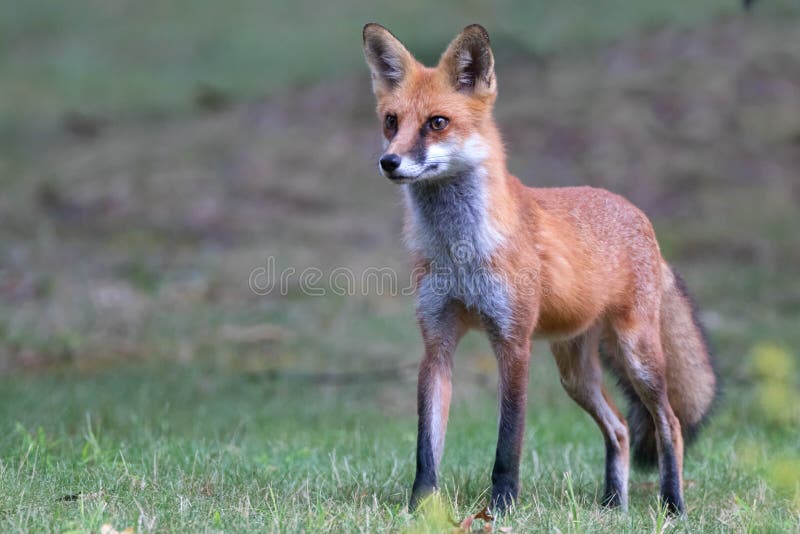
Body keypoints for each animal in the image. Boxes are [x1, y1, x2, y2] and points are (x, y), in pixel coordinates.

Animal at [362, 23, 716, 515]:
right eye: (391, 121)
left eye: (437, 122)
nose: (389, 162)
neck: (459, 251)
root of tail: (639, 216)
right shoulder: (437, 343)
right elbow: (426, 446)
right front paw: (422, 509)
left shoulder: (513, 343)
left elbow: (508, 442)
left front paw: (501, 508)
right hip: (576, 374)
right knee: (621, 426)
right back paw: (613, 505)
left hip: (637, 355)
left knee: (670, 423)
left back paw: (673, 504)